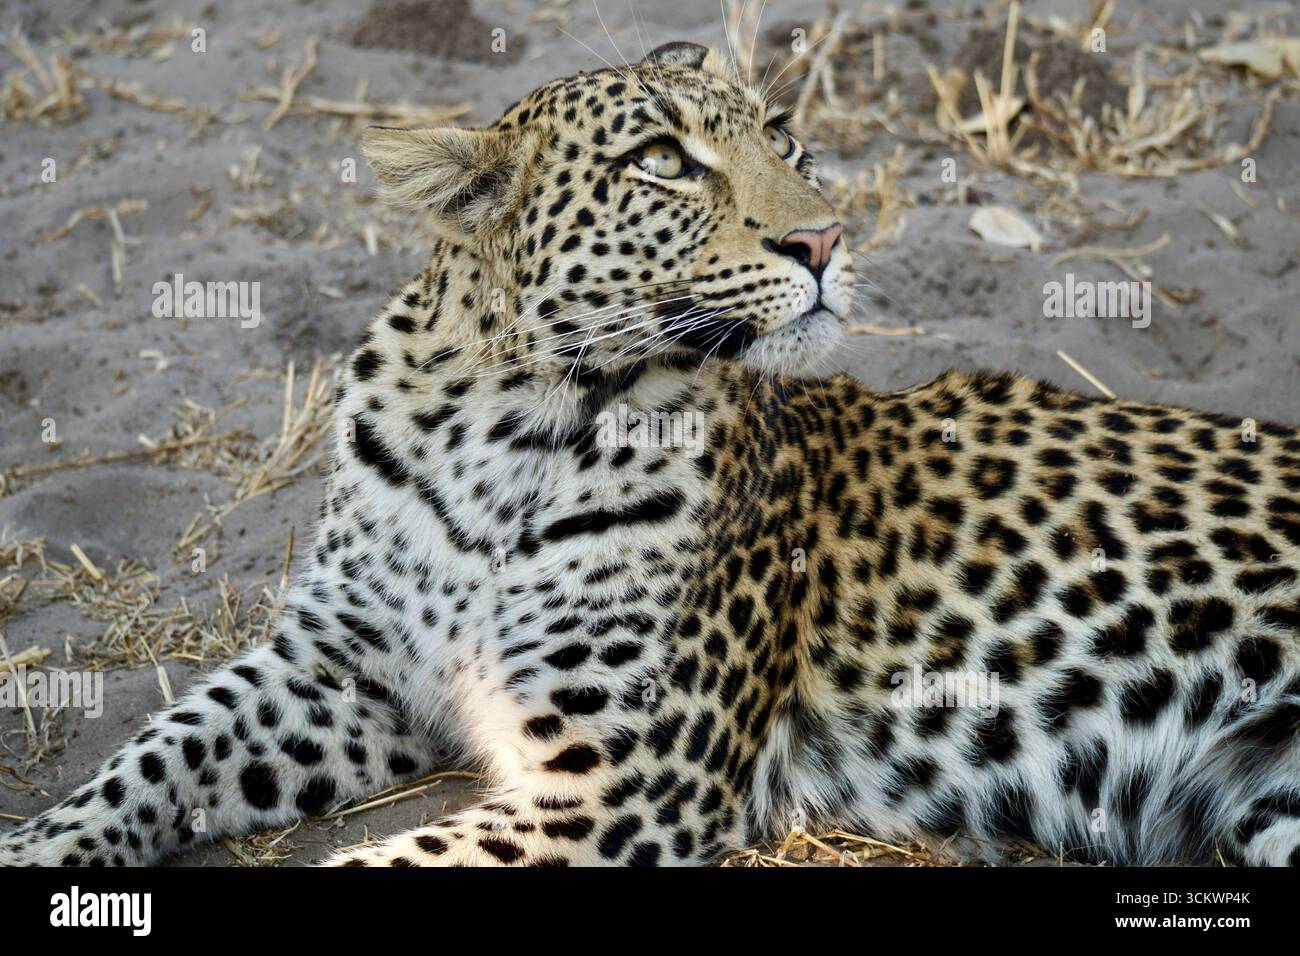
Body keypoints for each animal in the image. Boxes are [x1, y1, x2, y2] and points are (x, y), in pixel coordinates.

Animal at [3, 41, 1299, 868]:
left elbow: (375, 865)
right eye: (662, 162)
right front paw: (39, 840)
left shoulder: (620, 786)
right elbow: (155, 750)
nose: (827, 236)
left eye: (786, 139)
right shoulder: (341, 668)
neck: (507, 430)